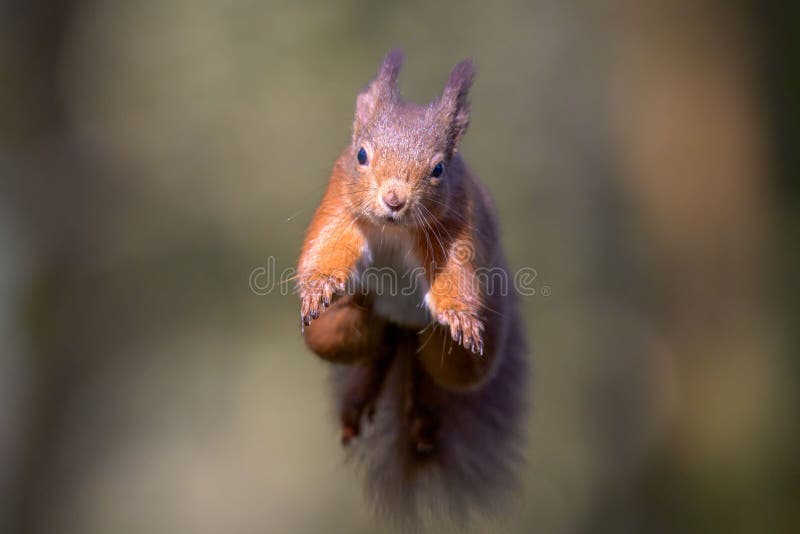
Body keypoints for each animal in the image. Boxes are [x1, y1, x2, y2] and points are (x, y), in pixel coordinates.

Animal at [297, 50, 529, 522]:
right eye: (361, 154)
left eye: (438, 168)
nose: (394, 199)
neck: (394, 230)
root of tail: (401, 328)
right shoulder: (339, 208)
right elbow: (327, 249)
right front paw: (320, 287)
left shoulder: (455, 229)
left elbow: (454, 275)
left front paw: (458, 315)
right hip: (335, 336)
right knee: (358, 340)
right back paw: (358, 314)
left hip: (471, 356)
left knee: (443, 366)